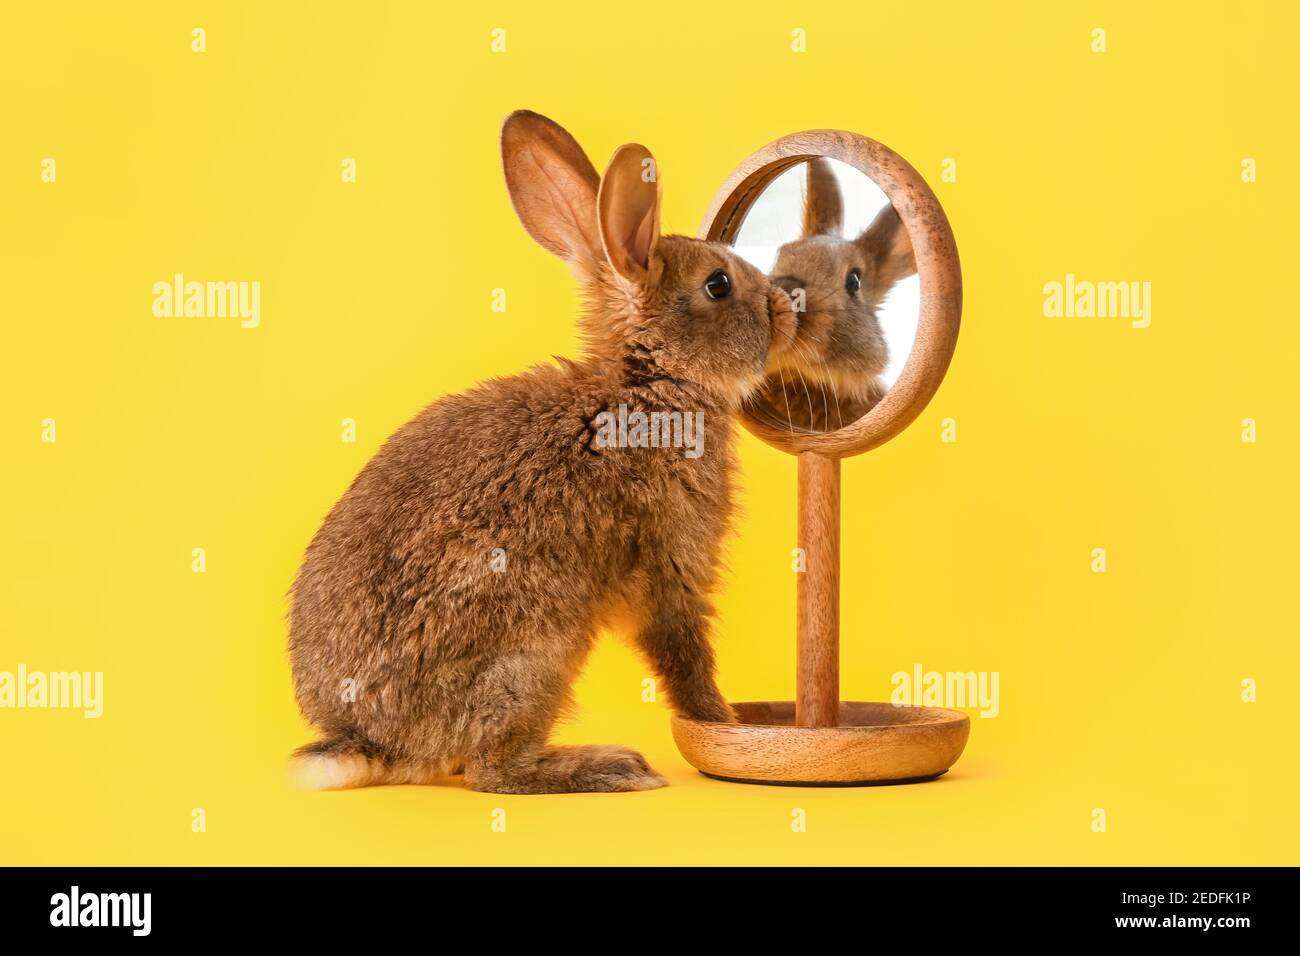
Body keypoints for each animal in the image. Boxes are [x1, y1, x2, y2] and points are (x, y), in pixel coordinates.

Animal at [287, 111, 797, 794]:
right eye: (718, 285)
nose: (784, 306)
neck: (650, 383)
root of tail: (369, 743)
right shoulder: (671, 562)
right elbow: (683, 654)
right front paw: (726, 724)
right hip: (534, 650)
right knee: (493, 770)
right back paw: (611, 768)